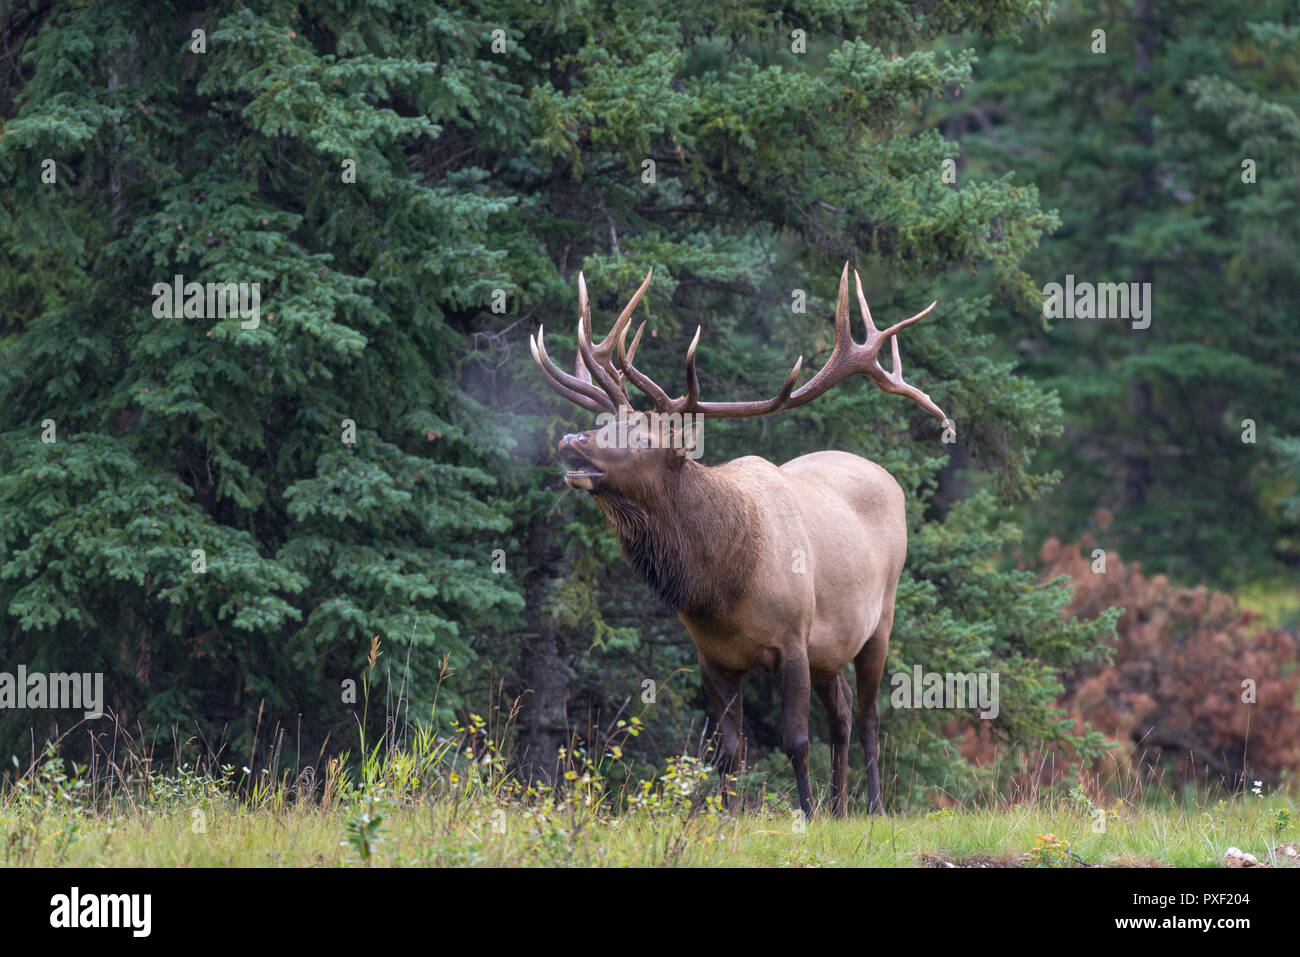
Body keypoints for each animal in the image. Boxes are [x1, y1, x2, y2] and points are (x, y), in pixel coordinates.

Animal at [529, 263, 950, 817]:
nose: (570, 440)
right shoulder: (714, 658)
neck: (723, 588)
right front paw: (726, 817)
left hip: (881, 617)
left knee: (868, 715)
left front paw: (806, 815)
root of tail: (891, 480)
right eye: (604, 423)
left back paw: (872, 807)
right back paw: (840, 807)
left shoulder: (793, 640)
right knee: (840, 714)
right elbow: (728, 750)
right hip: (830, 645)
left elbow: (796, 741)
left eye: (643, 438)